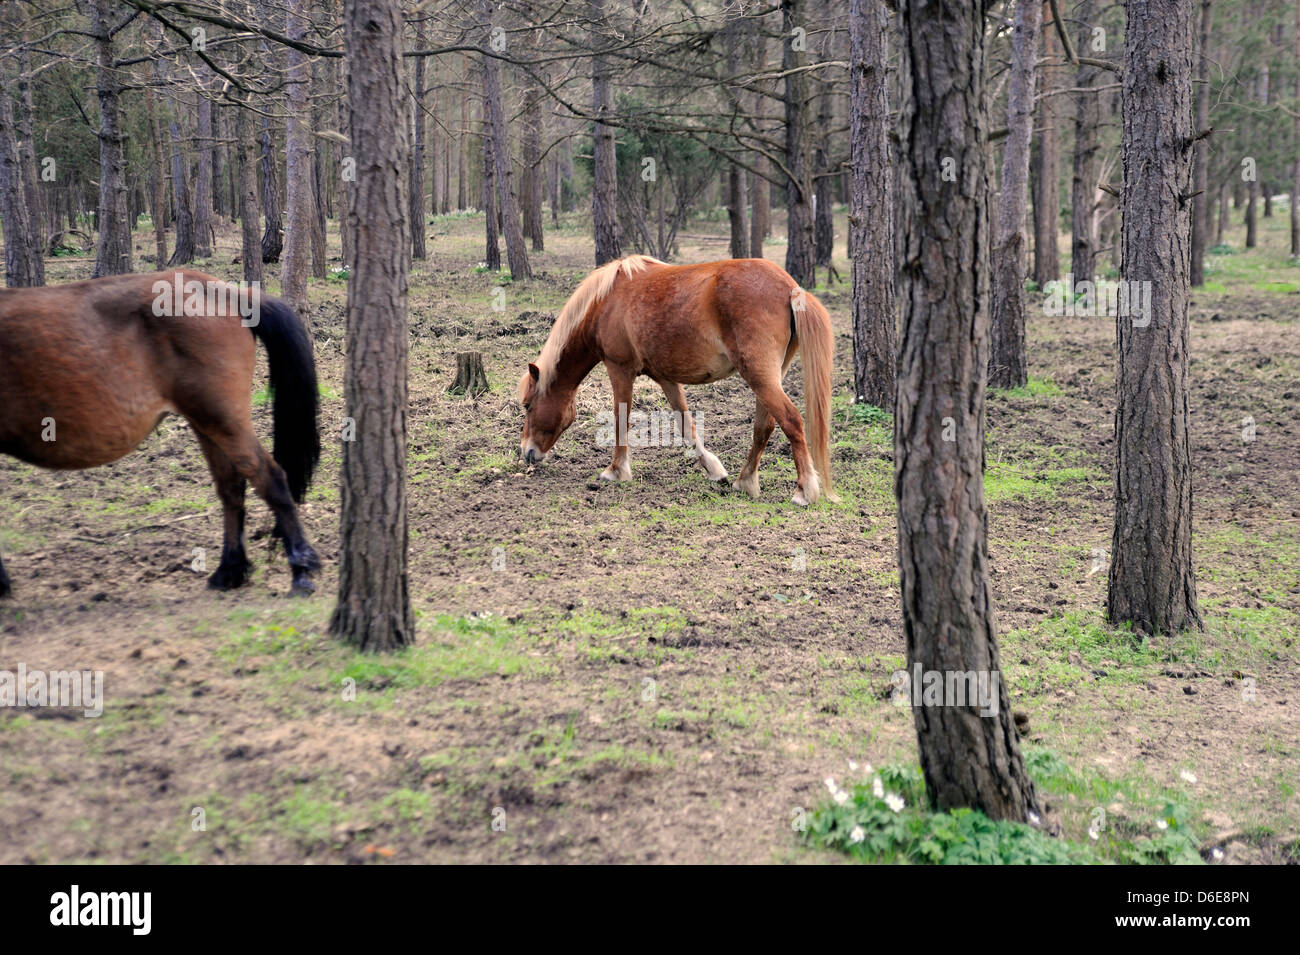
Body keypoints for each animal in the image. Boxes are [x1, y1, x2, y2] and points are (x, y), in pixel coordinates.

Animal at [0, 269, 321, 598]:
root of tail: (223, 291)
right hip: (206, 424)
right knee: (231, 488)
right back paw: (229, 571)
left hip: (223, 420)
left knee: (270, 478)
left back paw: (301, 571)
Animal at [517, 255, 835, 505]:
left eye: (528, 406)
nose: (527, 453)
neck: (607, 301)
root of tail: (791, 288)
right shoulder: (665, 378)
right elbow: (686, 424)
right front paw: (714, 470)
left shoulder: (619, 369)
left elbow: (621, 419)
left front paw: (615, 471)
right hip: (769, 377)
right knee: (764, 427)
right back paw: (745, 482)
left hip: (760, 376)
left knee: (791, 420)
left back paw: (804, 492)